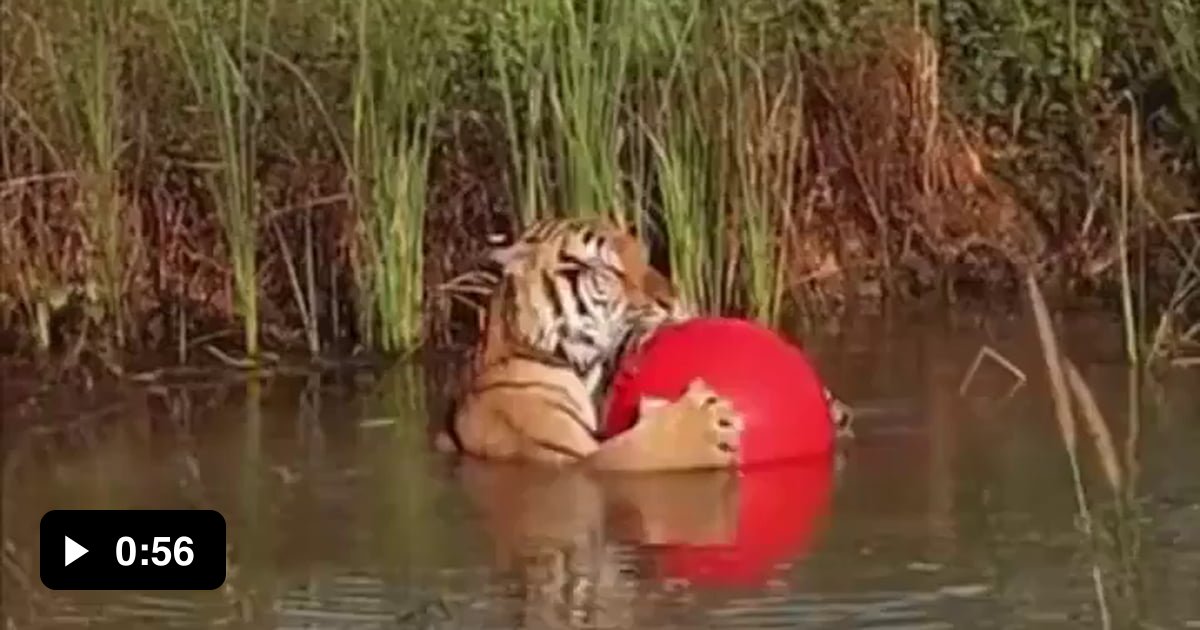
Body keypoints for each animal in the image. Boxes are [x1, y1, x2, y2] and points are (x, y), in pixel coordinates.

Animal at [440, 216, 744, 472]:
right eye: (610, 270)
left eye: (643, 257)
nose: (672, 300)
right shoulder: (576, 459)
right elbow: (640, 450)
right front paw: (709, 424)